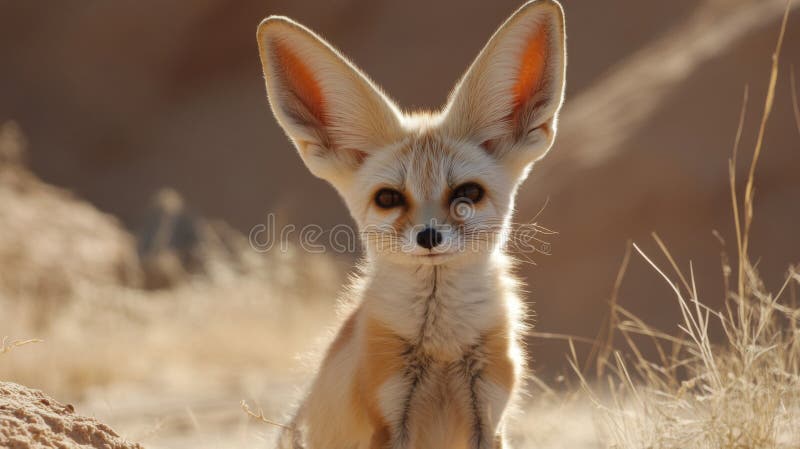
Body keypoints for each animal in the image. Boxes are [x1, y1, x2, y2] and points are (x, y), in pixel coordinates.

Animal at [256, 1, 566, 448]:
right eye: (389, 198)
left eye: (467, 194)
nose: (429, 235)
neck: (441, 348)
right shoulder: (388, 414)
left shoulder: (490, 413)